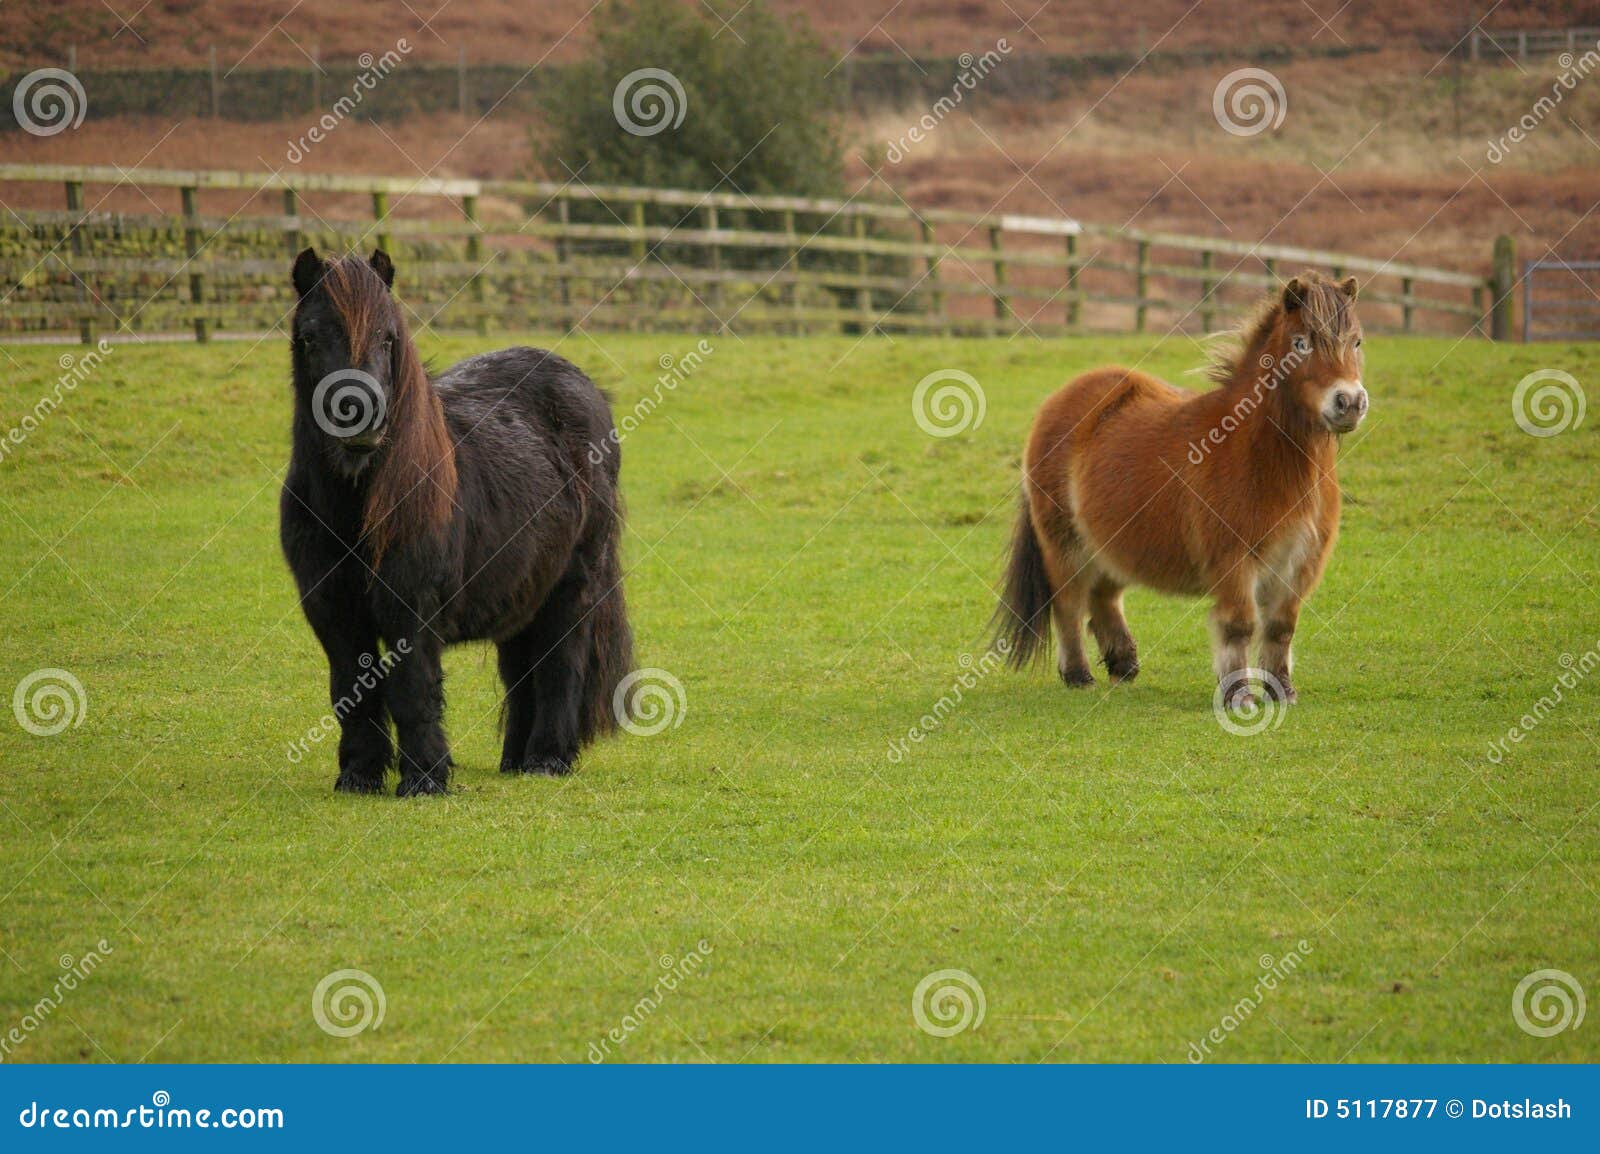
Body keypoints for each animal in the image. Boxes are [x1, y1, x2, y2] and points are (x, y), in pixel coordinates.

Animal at [279, 248, 633, 795]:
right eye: (310, 335)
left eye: (387, 336)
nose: (361, 418)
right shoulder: (330, 608)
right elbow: (350, 689)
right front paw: (359, 776)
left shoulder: (411, 608)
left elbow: (412, 689)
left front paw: (425, 780)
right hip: (522, 590)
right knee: (520, 671)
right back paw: (515, 761)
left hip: (573, 584)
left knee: (560, 664)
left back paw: (548, 758)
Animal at [993, 271, 1367, 709]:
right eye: (1301, 343)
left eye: (1356, 342)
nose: (1350, 402)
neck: (1260, 455)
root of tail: (1061, 398)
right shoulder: (1234, 562)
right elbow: (1239, 625)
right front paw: (1238, 695)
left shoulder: (1301, 563)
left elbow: (1281, 627)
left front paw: (1283, 692)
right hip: (1064, 543)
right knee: (1069, 602)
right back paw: (1079, 675)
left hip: (1111, 542)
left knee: (1104, 596)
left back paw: (1123, 663)